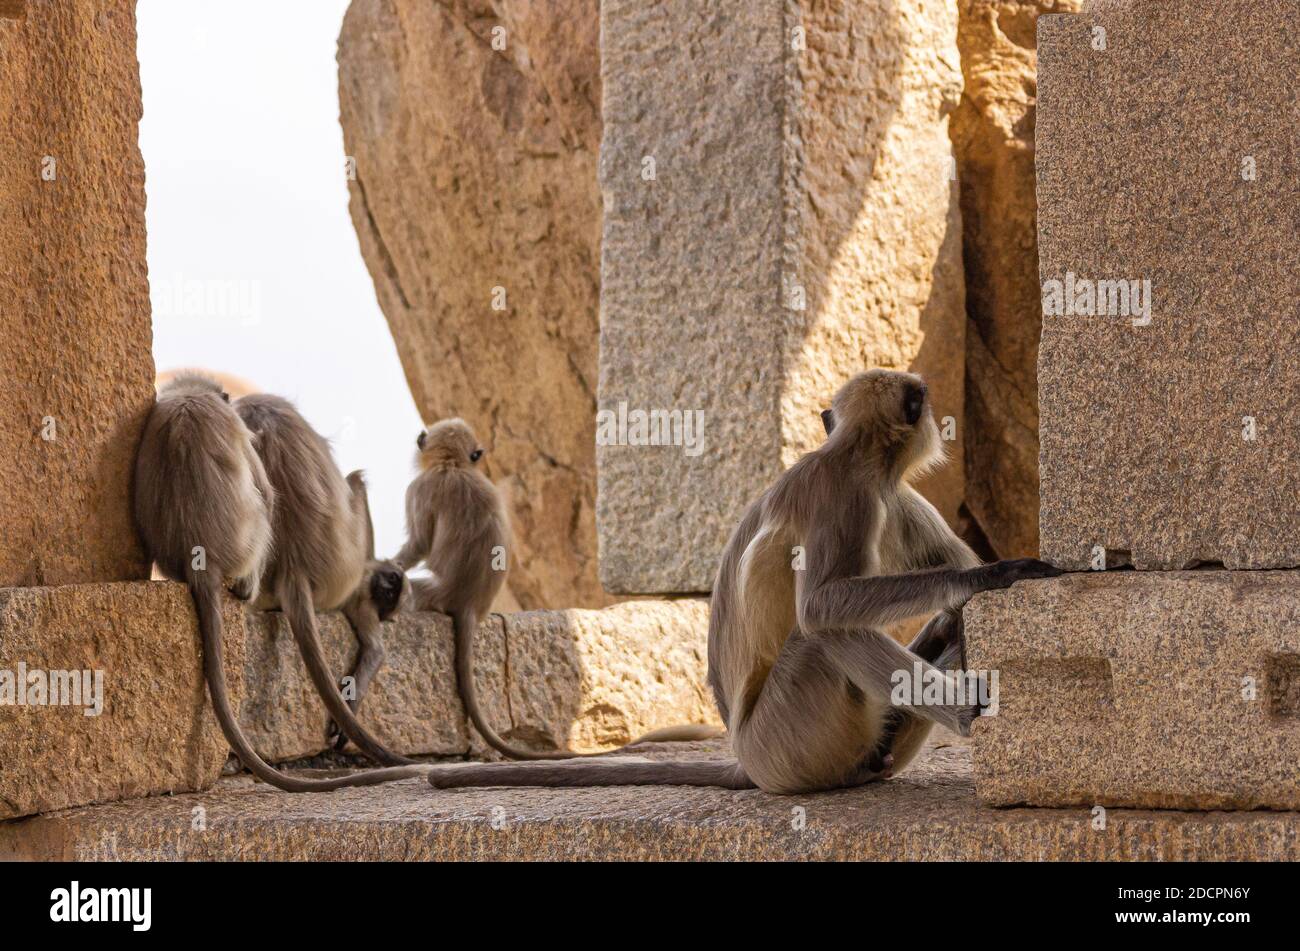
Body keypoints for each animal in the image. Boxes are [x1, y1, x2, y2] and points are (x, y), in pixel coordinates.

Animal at [396, 418, 721, 762]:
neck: (454, 464)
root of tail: (470, 604)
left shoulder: (420, 489)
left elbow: (417, 544)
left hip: (429, 594)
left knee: (410, 587)